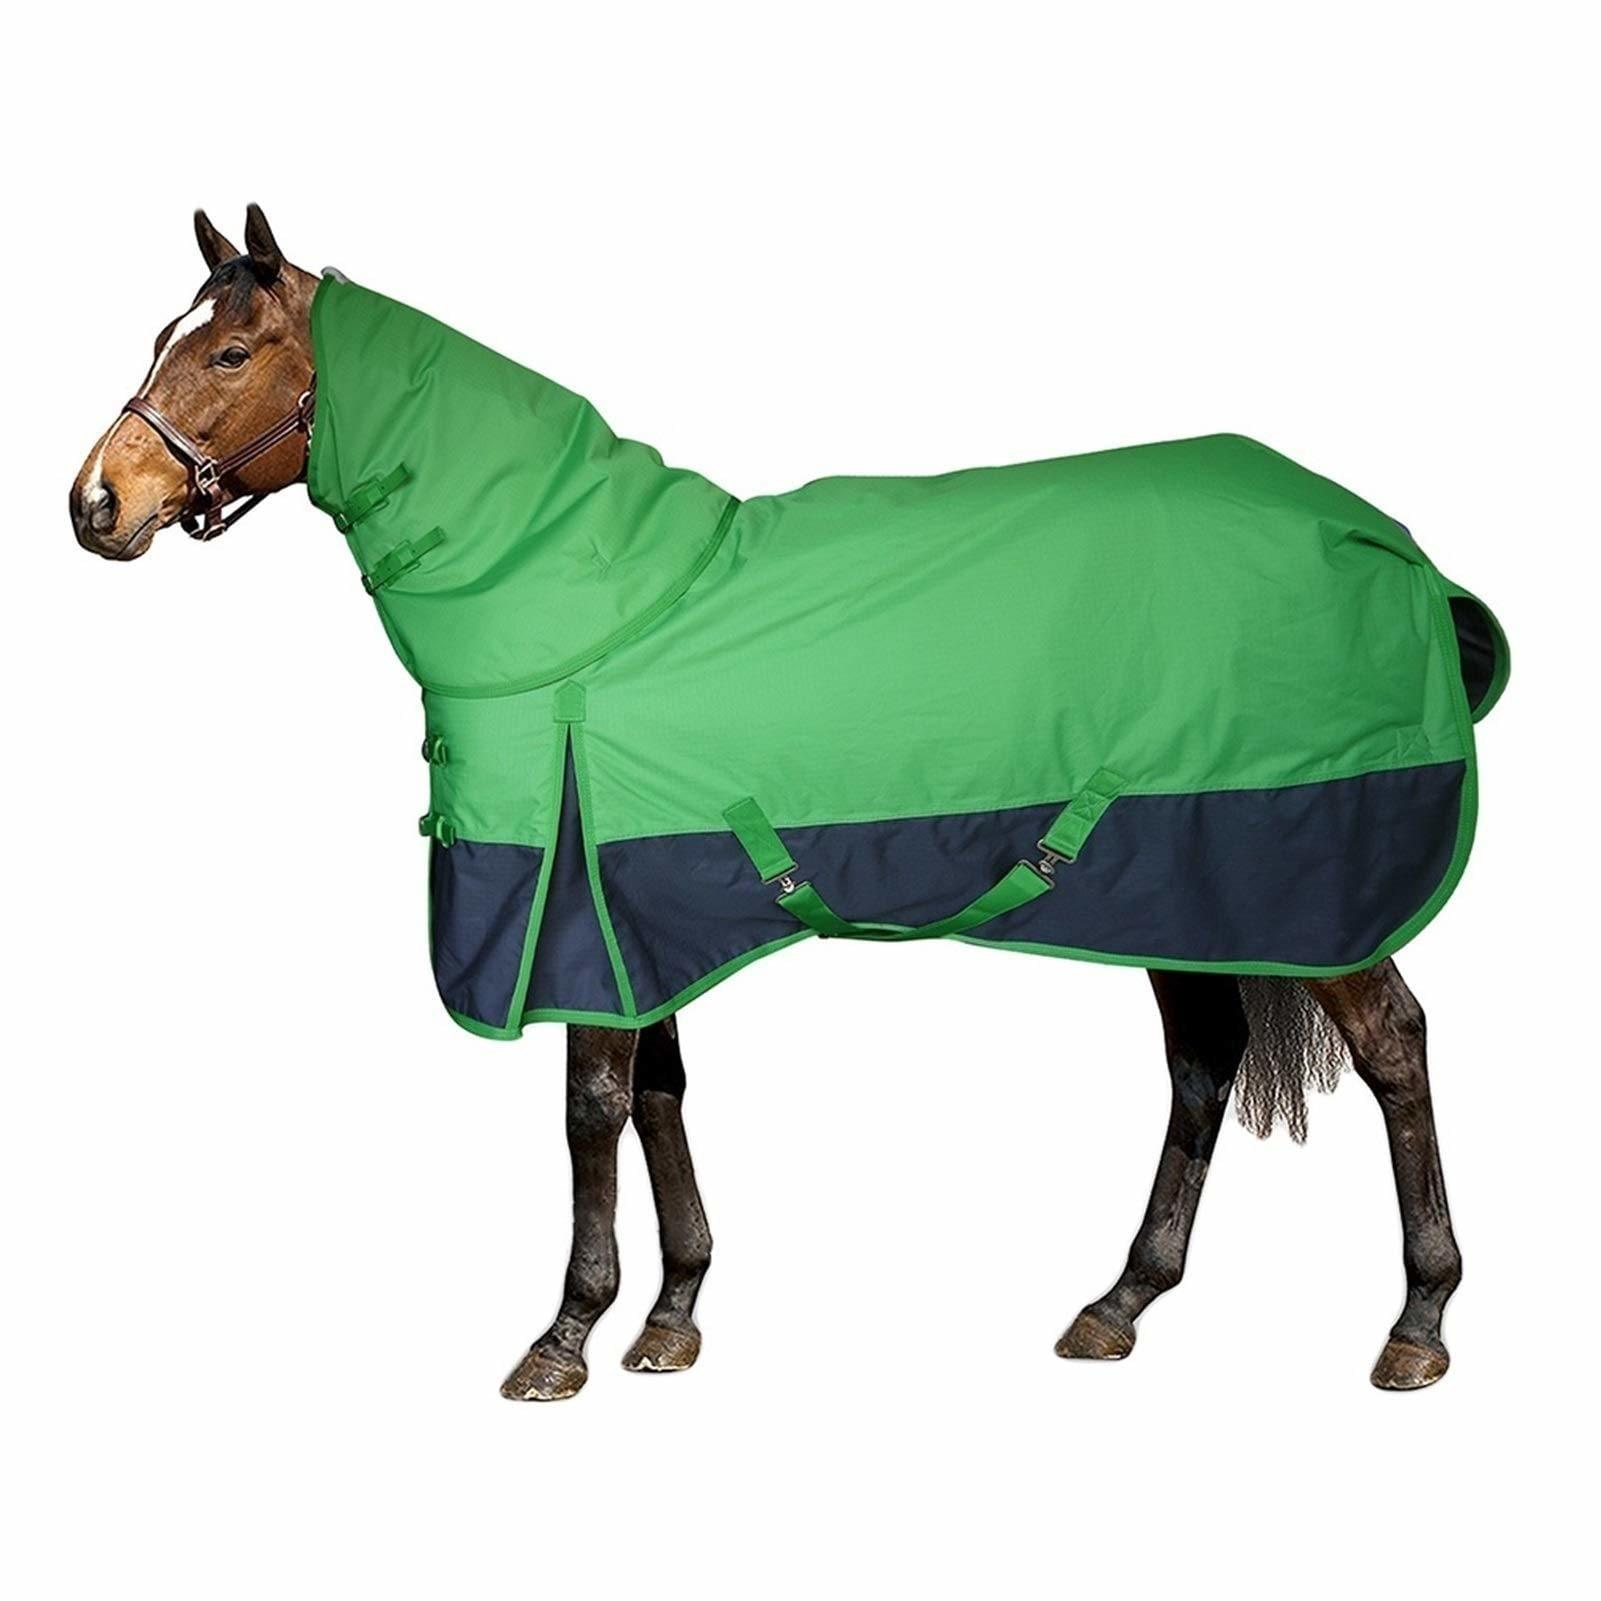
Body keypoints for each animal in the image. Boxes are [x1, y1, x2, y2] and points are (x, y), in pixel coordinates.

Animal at [71, 205, 1468, 1398]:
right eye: (159, 340)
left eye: (231, 349)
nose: (96, 502)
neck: (589, 603)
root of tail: (1377, 535)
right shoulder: (630, 906)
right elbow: (656, 1093)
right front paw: (672, 1314)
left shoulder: (574, 908)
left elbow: (590, 1111)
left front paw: (564, 1335)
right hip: (1181, 879)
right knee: (1201, 1060)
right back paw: (1118, 1302)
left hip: (1303, 882)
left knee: (1391, 1045)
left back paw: (1416, 1322)